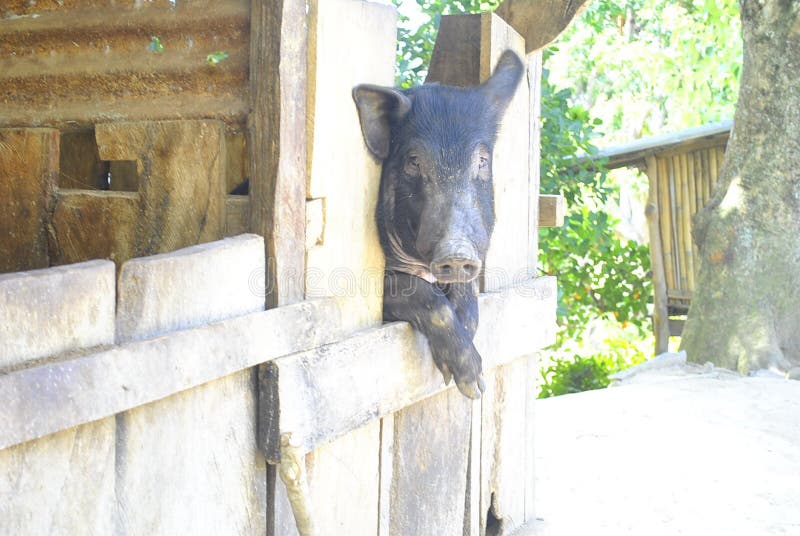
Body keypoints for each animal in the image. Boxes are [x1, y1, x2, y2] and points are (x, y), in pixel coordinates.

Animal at [352, 50, 524, 399]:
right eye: (414, 161)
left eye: (482, 161)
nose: (456, 252)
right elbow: (423, 294)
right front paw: (472, 386)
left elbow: (467, 293)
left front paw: (472, 384)